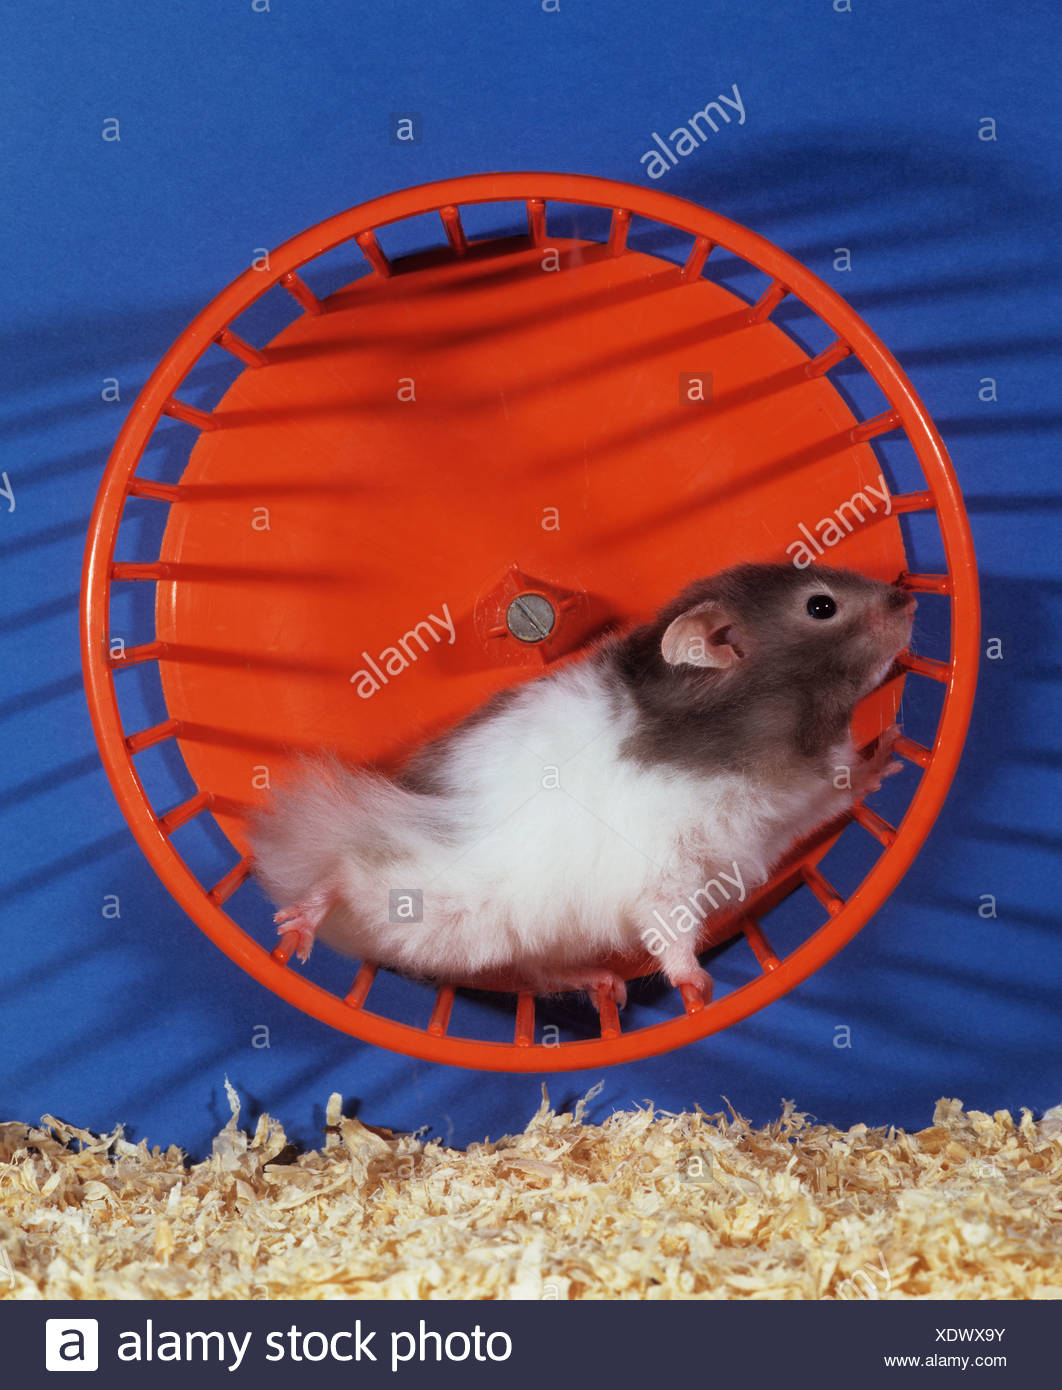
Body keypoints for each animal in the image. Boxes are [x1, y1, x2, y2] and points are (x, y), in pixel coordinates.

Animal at [247, 563, 915, 1007]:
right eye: (821, 607)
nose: (908, 596)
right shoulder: (667, 869)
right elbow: (672, 934)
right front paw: (700, 987)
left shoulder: (802, 805)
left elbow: (846, 787)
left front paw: (891, 754)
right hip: (425, 899)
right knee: (344, 875)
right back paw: (295, 928)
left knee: (532, 975)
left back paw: (606, 986)